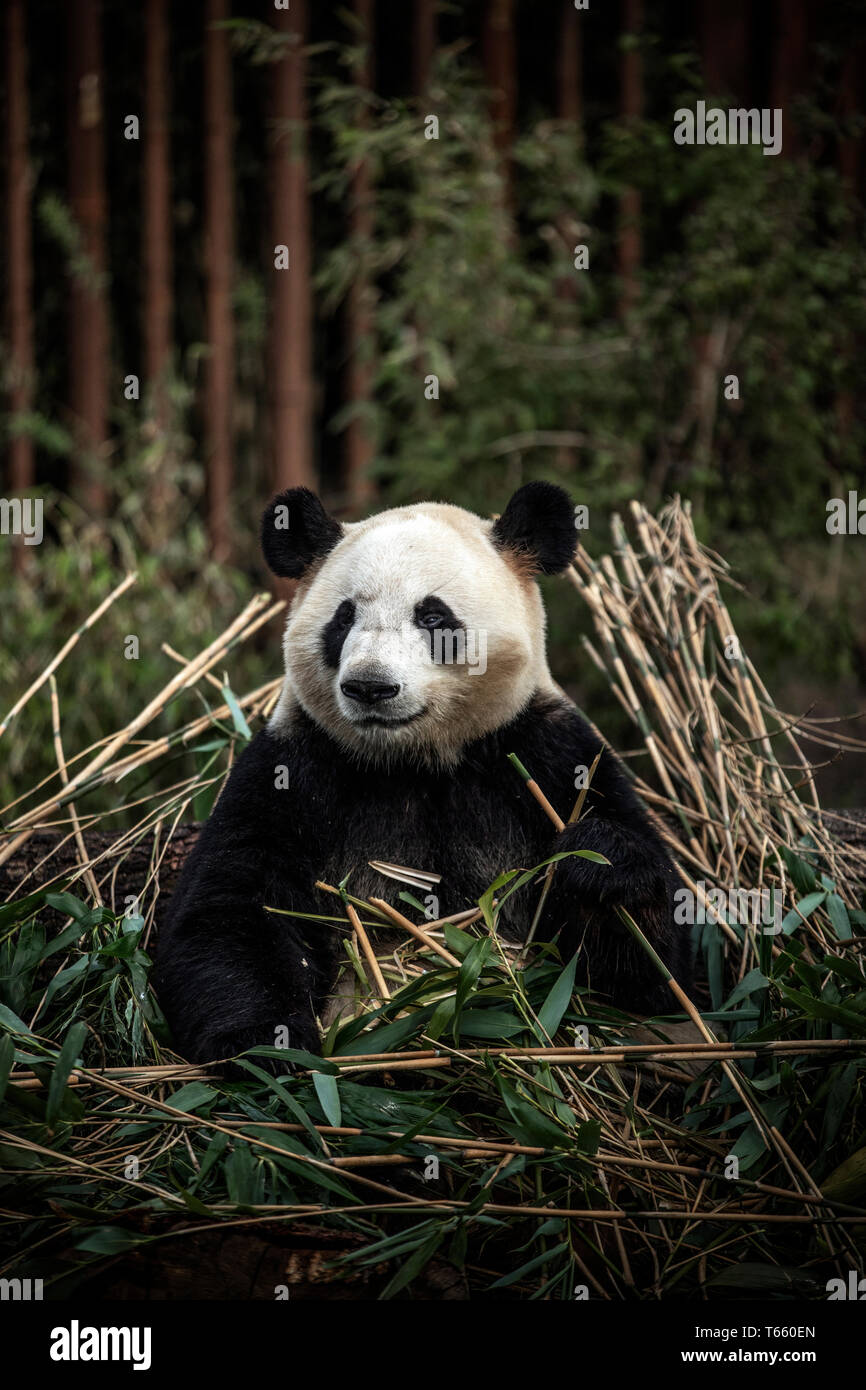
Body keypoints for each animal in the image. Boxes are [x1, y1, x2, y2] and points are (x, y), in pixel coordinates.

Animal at [154, 482, 689, 1066]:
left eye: (432, 617)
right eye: (343, 618)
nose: (370, 686)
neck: (416, 759)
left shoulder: (545, 750)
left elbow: (653, 974)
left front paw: (598, 864)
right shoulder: (294, 766)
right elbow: (231, 907)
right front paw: (265, 1044)